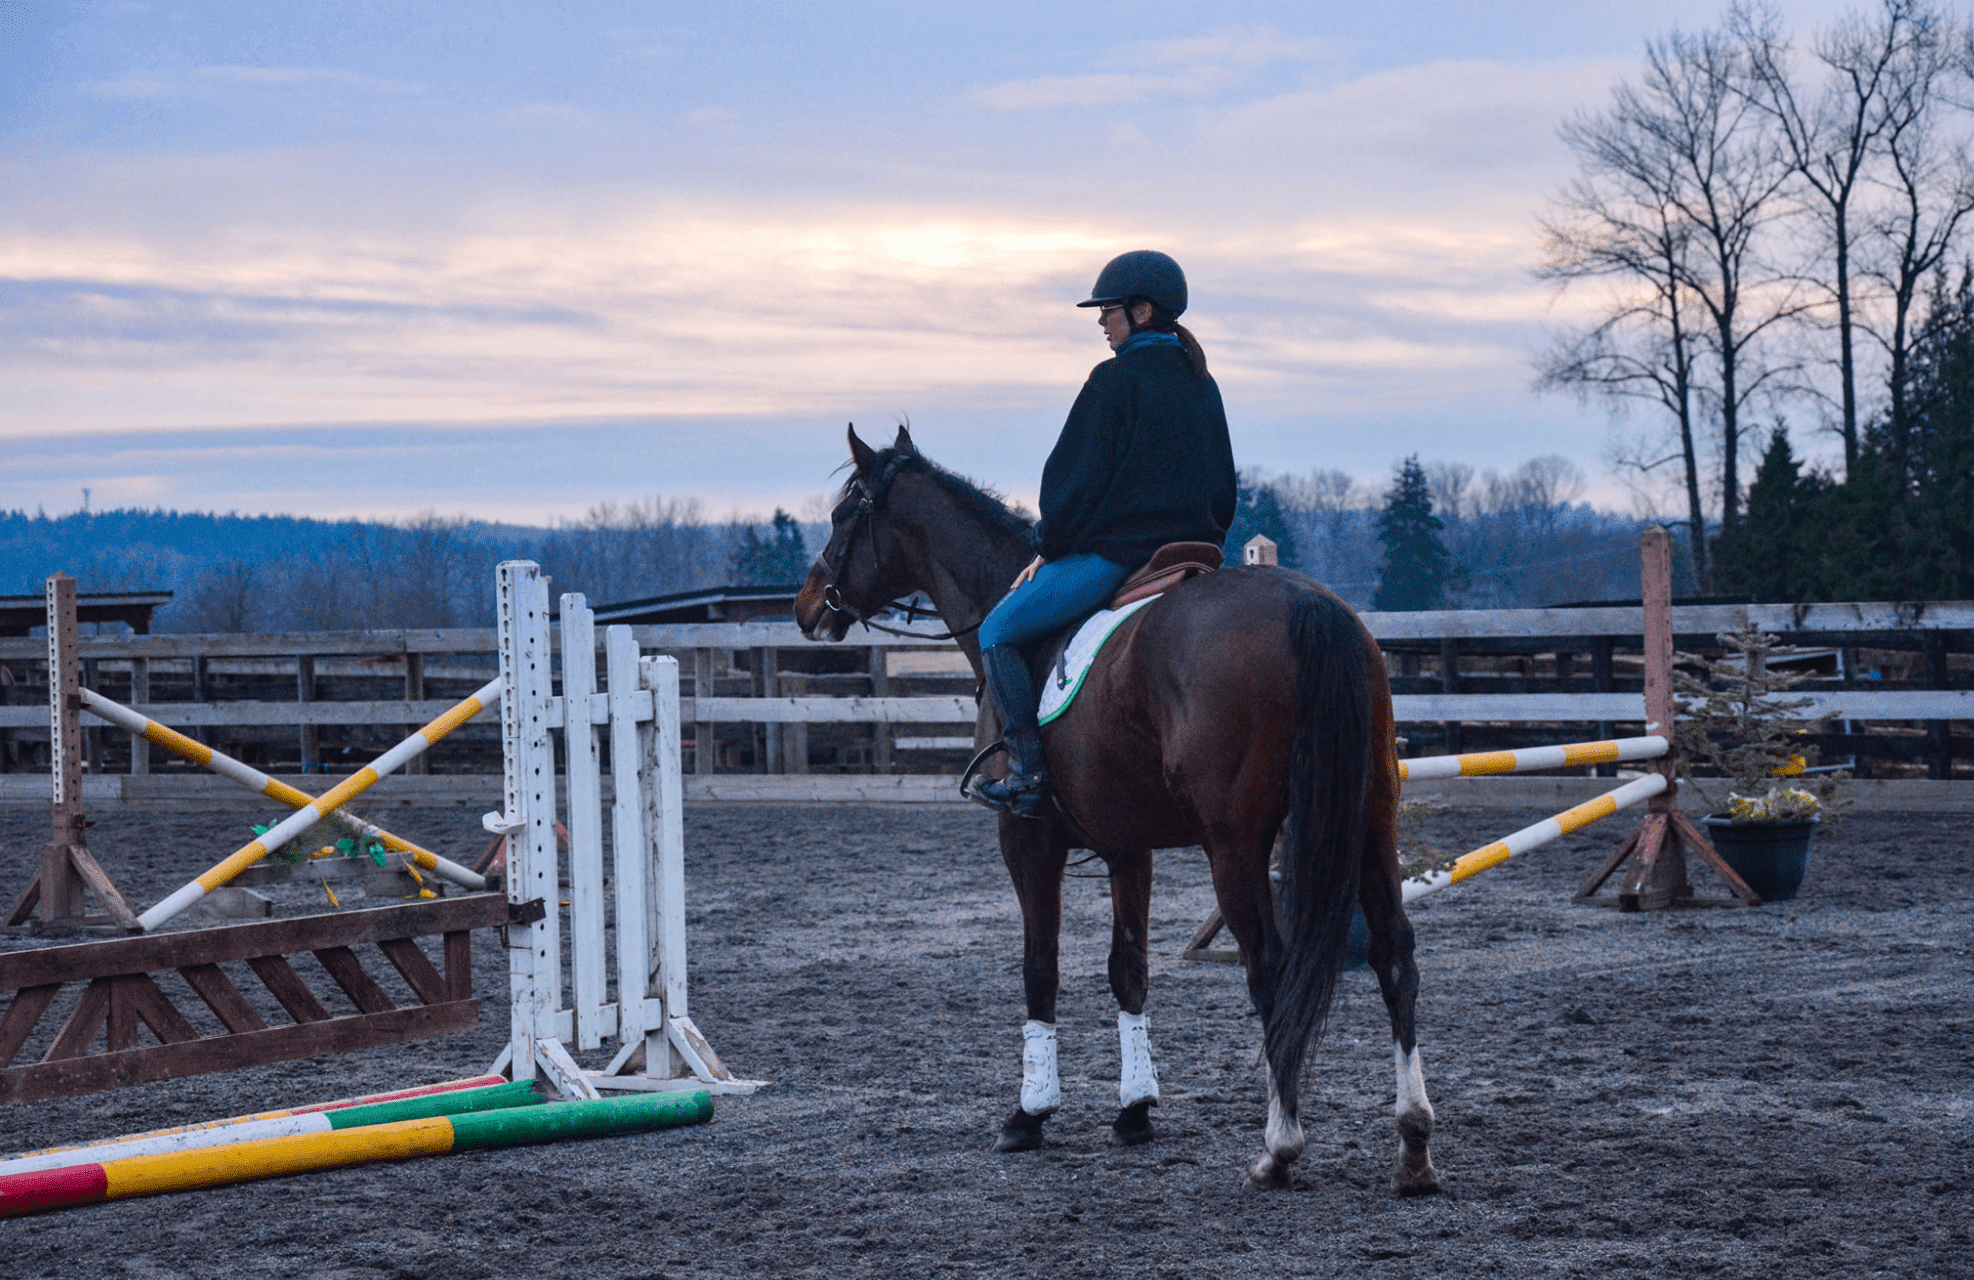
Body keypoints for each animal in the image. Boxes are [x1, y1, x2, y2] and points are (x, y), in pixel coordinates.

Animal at [794, 424, 1439, 1193]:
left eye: (843, 515)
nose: (807, 606)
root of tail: (1307, 606)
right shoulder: (1128, 844)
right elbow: (1128, 969)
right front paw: (1135, 1110)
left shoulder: (1028, 840)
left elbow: (1040, 967)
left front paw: (1029, 1114)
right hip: (1371, 820)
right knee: (1394, 955)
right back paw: (1413, 1143)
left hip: (1236, 845)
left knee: (1271, 968)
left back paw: (1278, 1148)